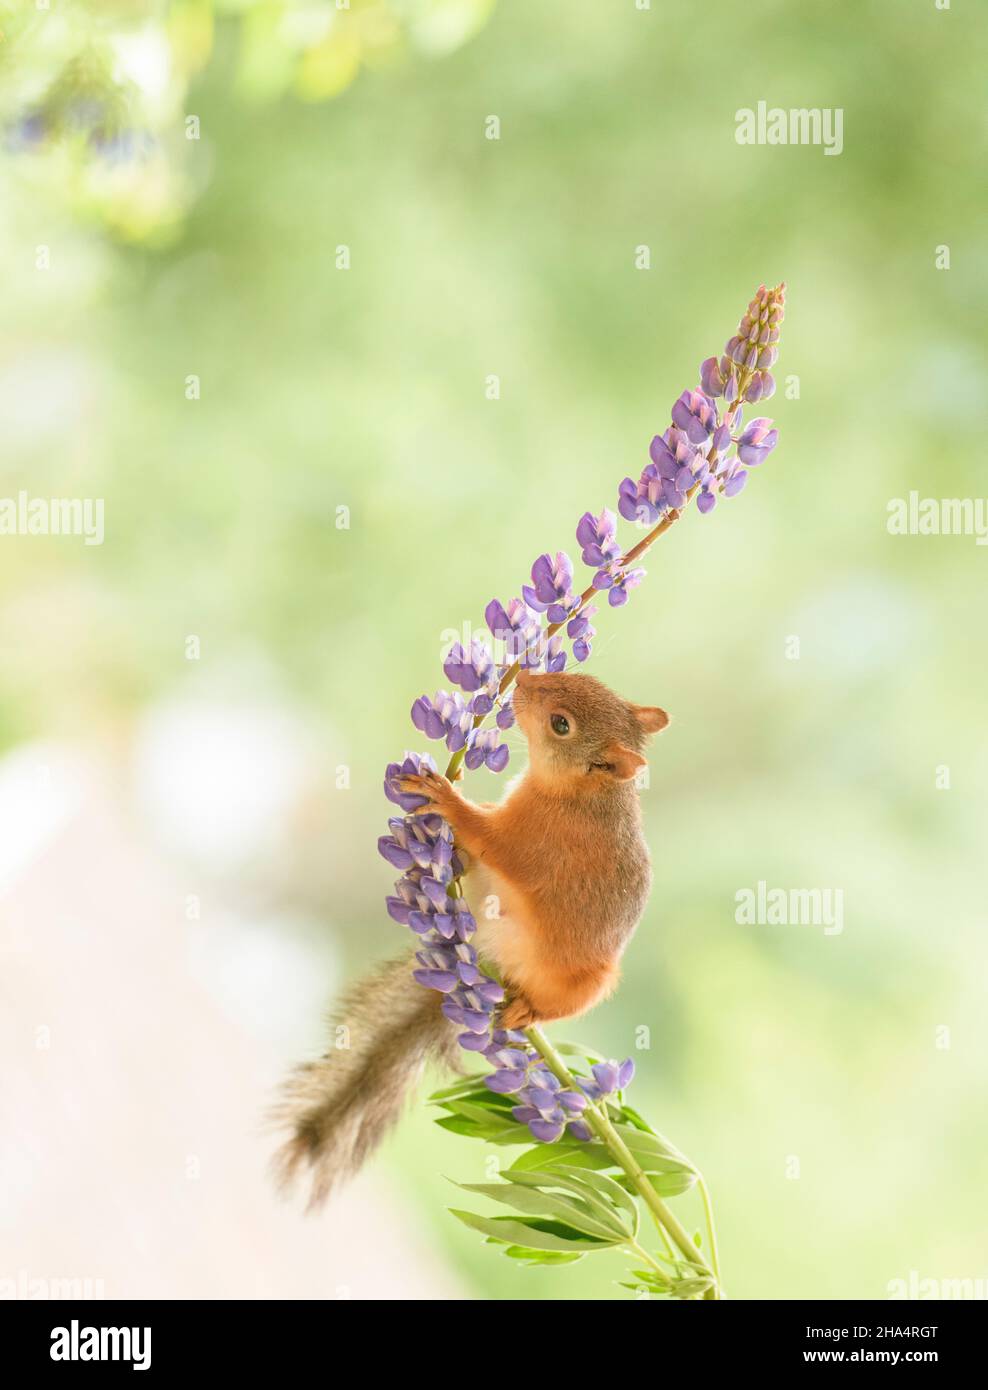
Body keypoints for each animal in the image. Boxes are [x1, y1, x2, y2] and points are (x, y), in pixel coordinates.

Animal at [274, 671, 668, 1205]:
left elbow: (489, 836)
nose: (523, 679)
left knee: (559, 1003)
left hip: (585, 983)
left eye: (561, 725)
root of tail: (489, 961)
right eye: (584, 678)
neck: (579, 795)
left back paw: (525, 1010)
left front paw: (444, 797)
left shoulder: (534, 844)